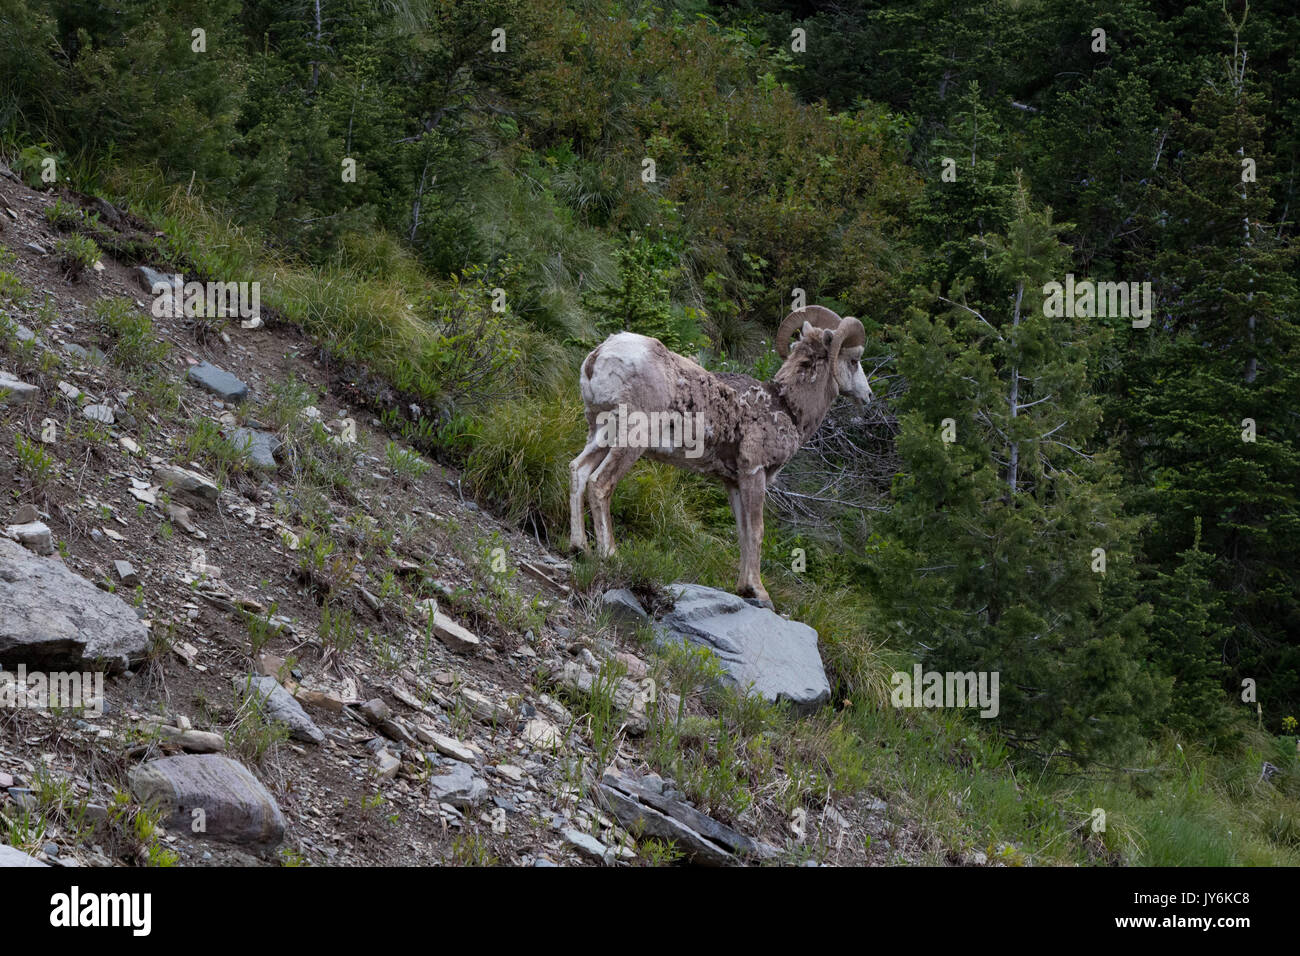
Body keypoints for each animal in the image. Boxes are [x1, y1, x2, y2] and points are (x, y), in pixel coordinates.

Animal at [569, 305, 872, 609]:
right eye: (854, 360)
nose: (867, 396)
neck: (787, 408)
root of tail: (599, 355)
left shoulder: (734, 482)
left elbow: (743, 532)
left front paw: (743, 588)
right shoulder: (755, 472)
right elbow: (757, 531)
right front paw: (759, 593)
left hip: (601, 433)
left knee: (578, 471)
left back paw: (579, 548)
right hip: (632, 438)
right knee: (600, 483)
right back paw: (610, 554)